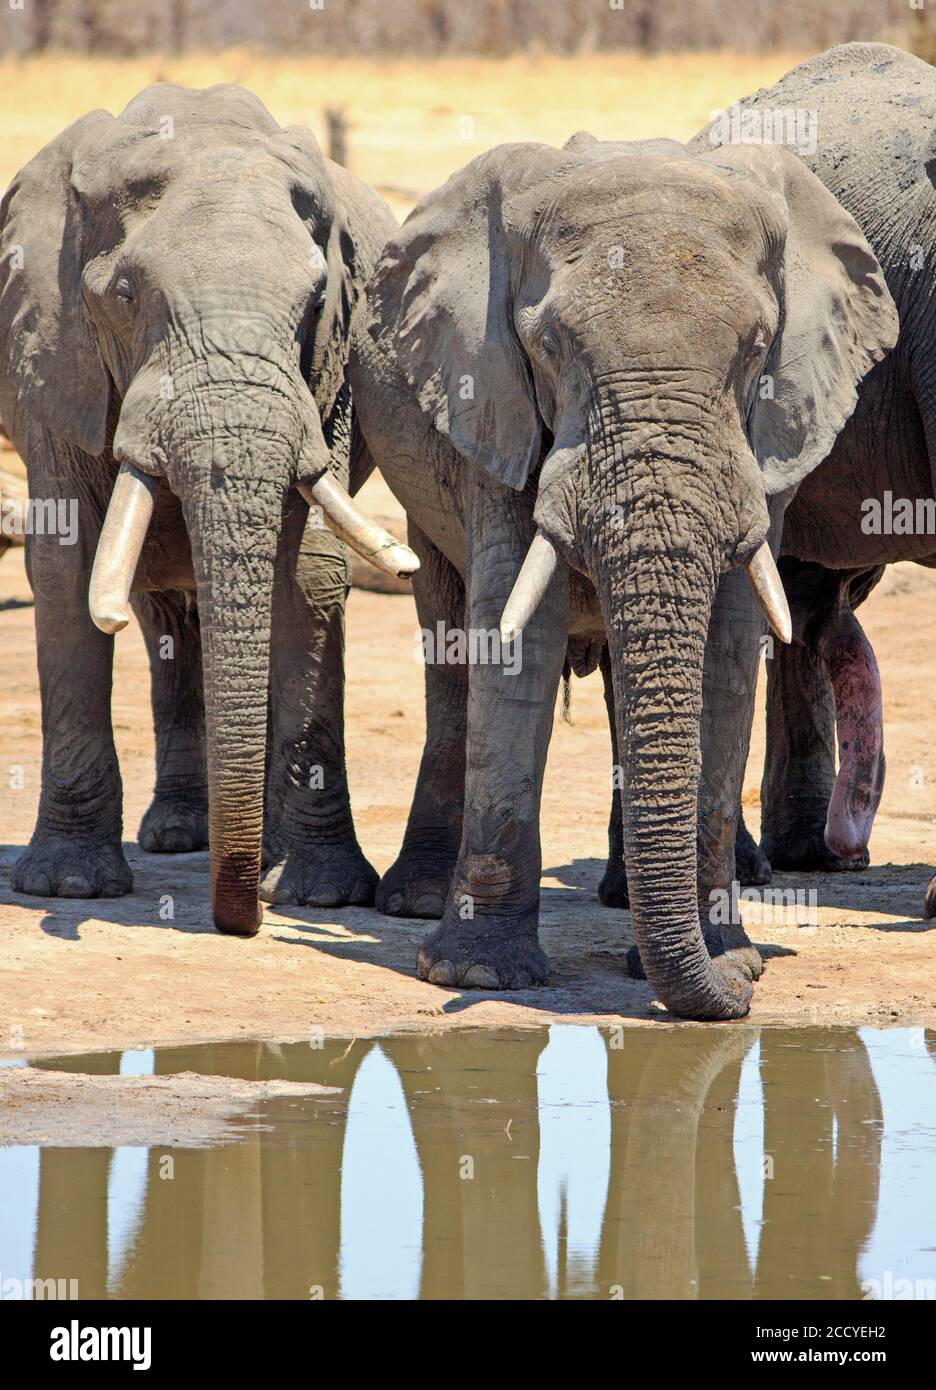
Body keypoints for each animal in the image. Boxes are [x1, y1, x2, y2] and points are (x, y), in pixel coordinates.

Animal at [0, 83, 417, 935]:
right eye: (126, 296)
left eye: (316, 301)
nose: (241, 922)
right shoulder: (52, 359)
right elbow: (65, 568)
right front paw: (68, 886)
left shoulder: (329, 379)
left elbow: (310, 569)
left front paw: (318, 894)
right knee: (164, 611)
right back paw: (180, 836)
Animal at [350, 128, 897, 1019]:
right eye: (549, 348)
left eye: (755, 351)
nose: (745, 996)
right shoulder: (494, 400)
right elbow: (516, 640)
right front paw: (479, 977)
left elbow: (730, 646)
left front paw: (728, 961)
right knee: (448, 638)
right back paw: (421, 902)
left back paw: (619, 896)